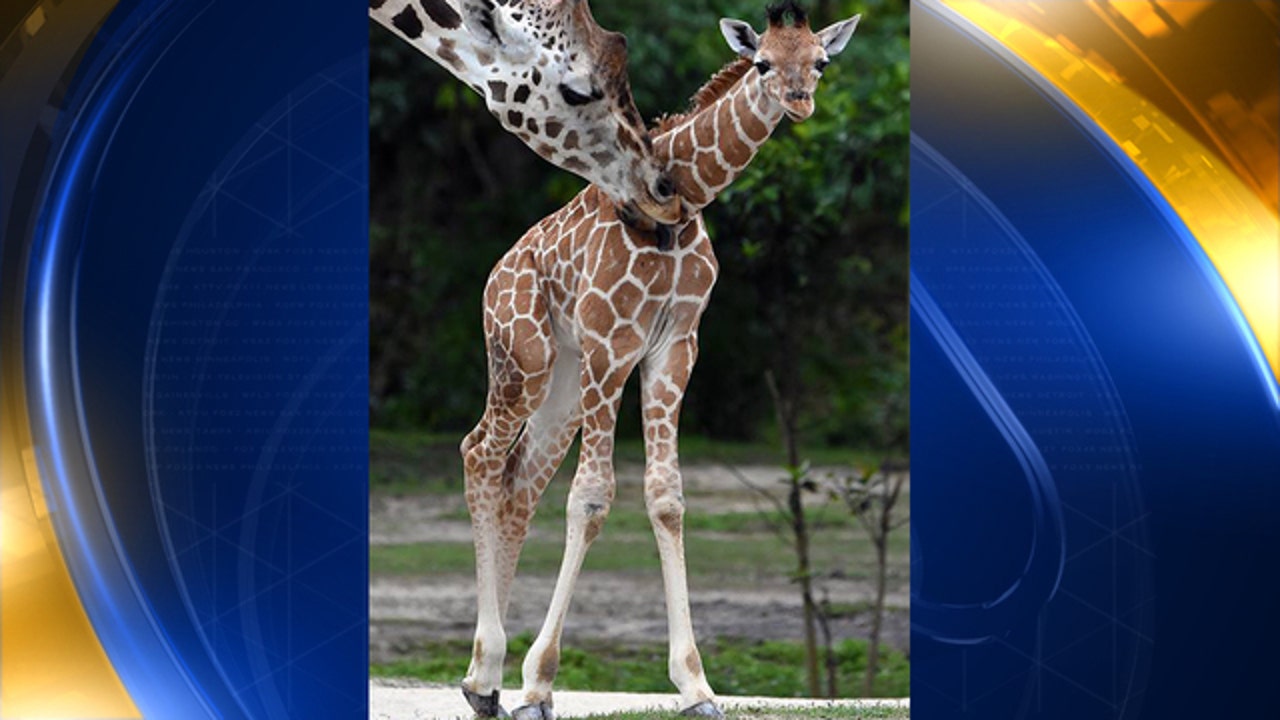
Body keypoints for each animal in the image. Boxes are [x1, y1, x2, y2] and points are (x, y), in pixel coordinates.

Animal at [459, 3, 861, 718]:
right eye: (763, 63)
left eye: (819, 62)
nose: (799, 100)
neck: (683, 198)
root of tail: (496, 275)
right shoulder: (611, 341)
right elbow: (591, 498)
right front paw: (540, 680)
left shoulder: (676, 346)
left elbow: (667, 497)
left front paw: (696, 685)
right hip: (525, 358)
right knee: (480, 452)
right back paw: (485, 669)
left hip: (564, 385)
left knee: (519, 484)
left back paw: (489, 680)